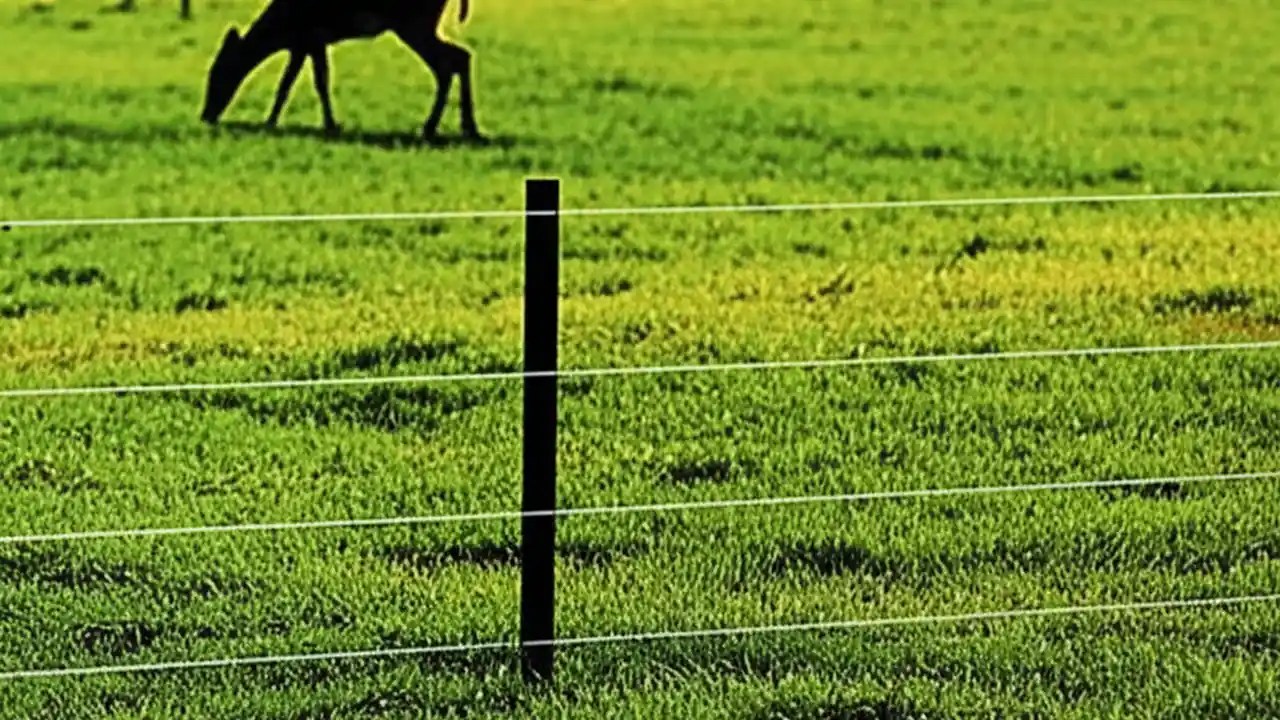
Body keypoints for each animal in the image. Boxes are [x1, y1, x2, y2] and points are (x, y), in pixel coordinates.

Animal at [199, 0, 483, 142]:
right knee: (459, 57)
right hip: (419, 24)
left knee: (450, 62)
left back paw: (434, 127)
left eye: (217, 74)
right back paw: (462, 127)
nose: (206, 115)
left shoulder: (310, 38)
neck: (281, 28)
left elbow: (316, 82)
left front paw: (329, 124)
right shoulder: (302, 44)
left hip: (414, 22)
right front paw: (272, 121)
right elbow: (288, 84)